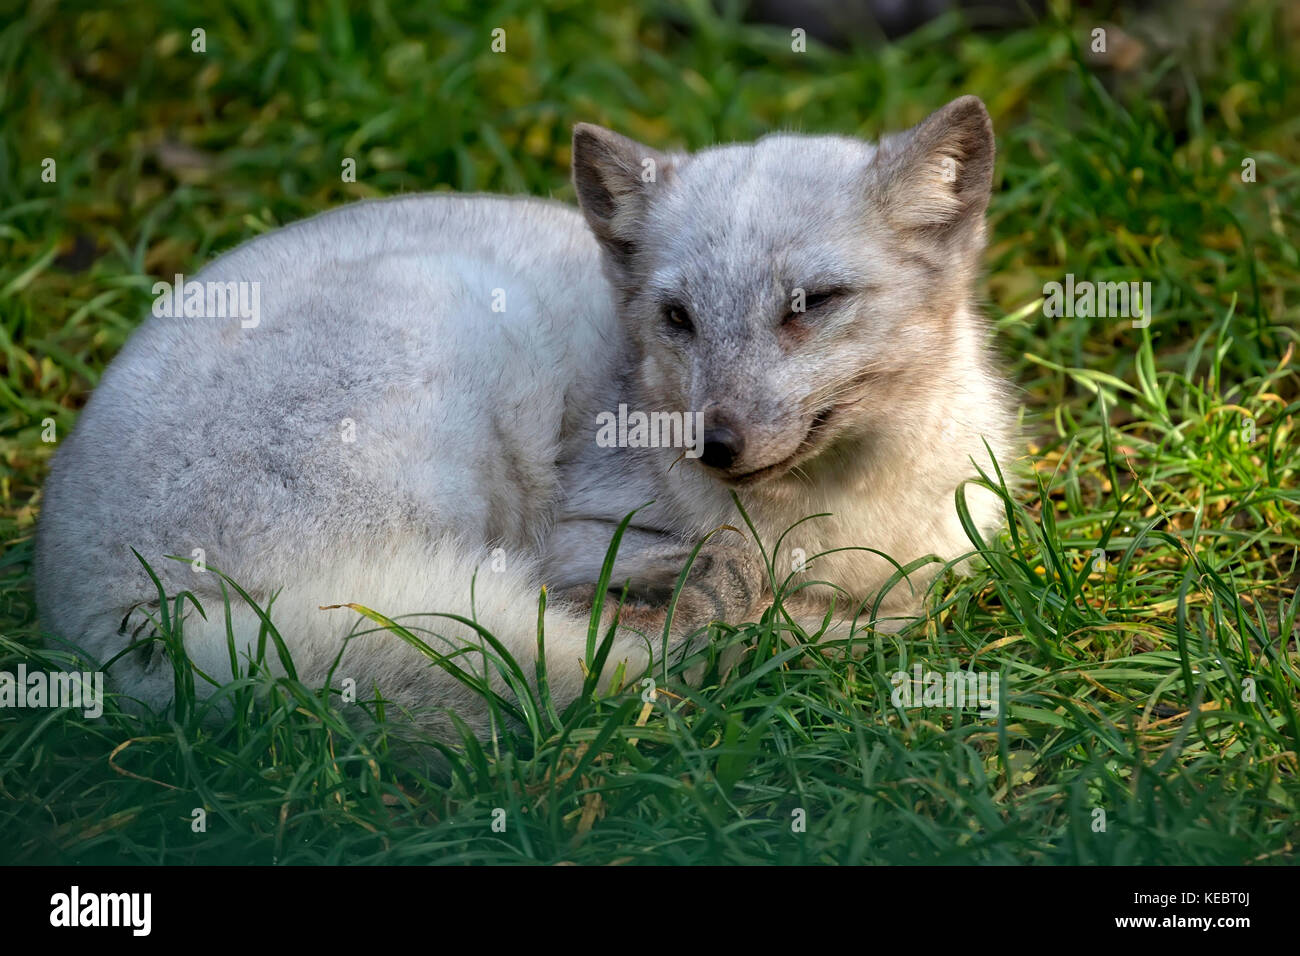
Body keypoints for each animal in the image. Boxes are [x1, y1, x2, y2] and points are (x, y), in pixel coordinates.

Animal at [34, 95, 1016, 741]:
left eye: (811, 304)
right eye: (678, 318)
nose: (714, 445)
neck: (847, 516)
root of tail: (108, 624)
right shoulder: (584, 524)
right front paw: (750, 600)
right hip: (444, 348)